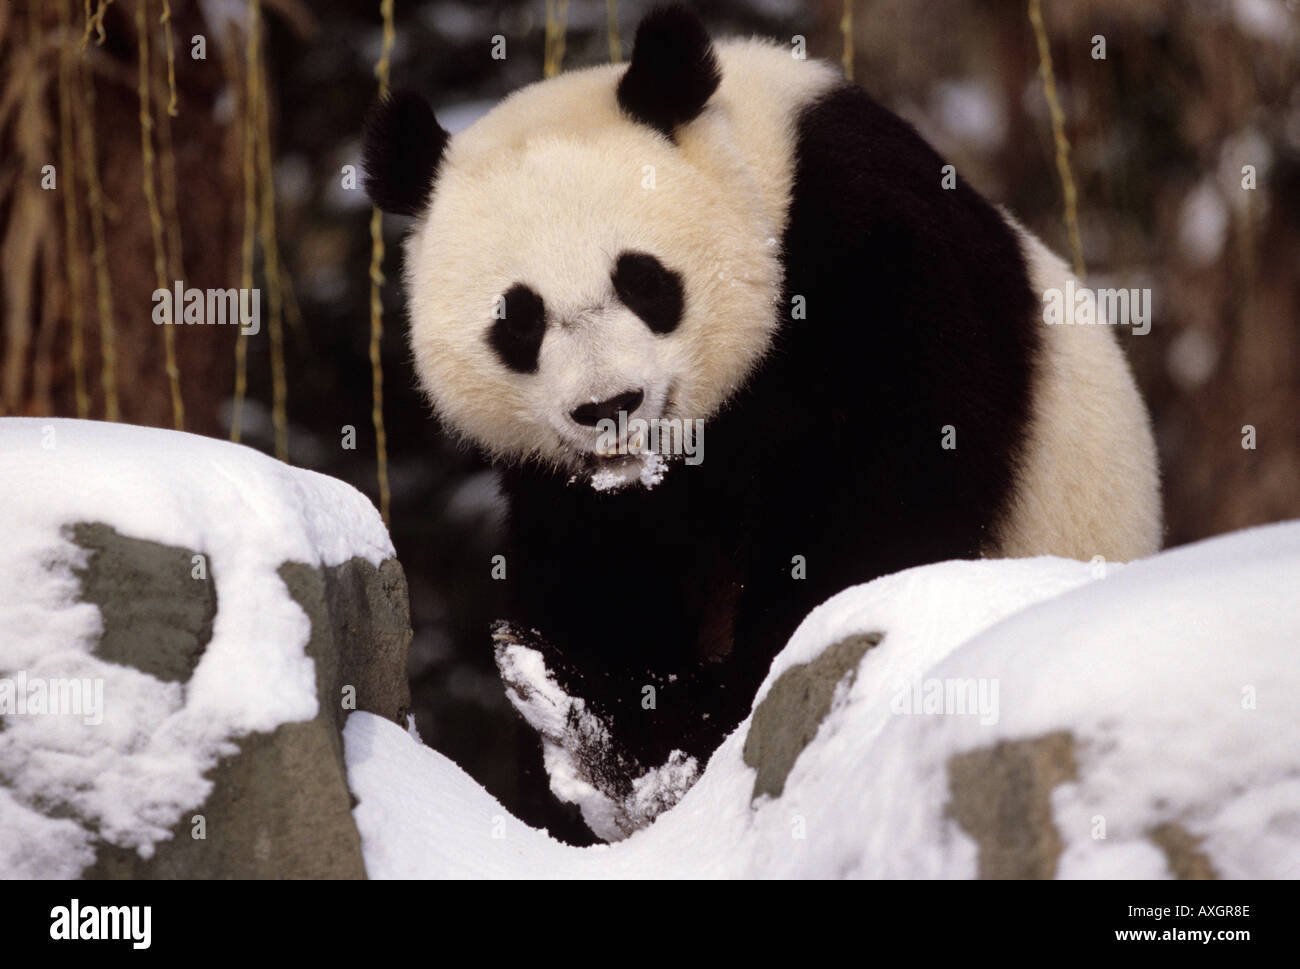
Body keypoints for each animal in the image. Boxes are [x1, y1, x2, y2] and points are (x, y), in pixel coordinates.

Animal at [363, 4, 1161, 838]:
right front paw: (596, 733)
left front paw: (686, 732)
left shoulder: (875, 256)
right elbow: (597, 577)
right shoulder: (569, 484)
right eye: (518, 319)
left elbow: (883, 510)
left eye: (642, 279)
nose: (610, 406)